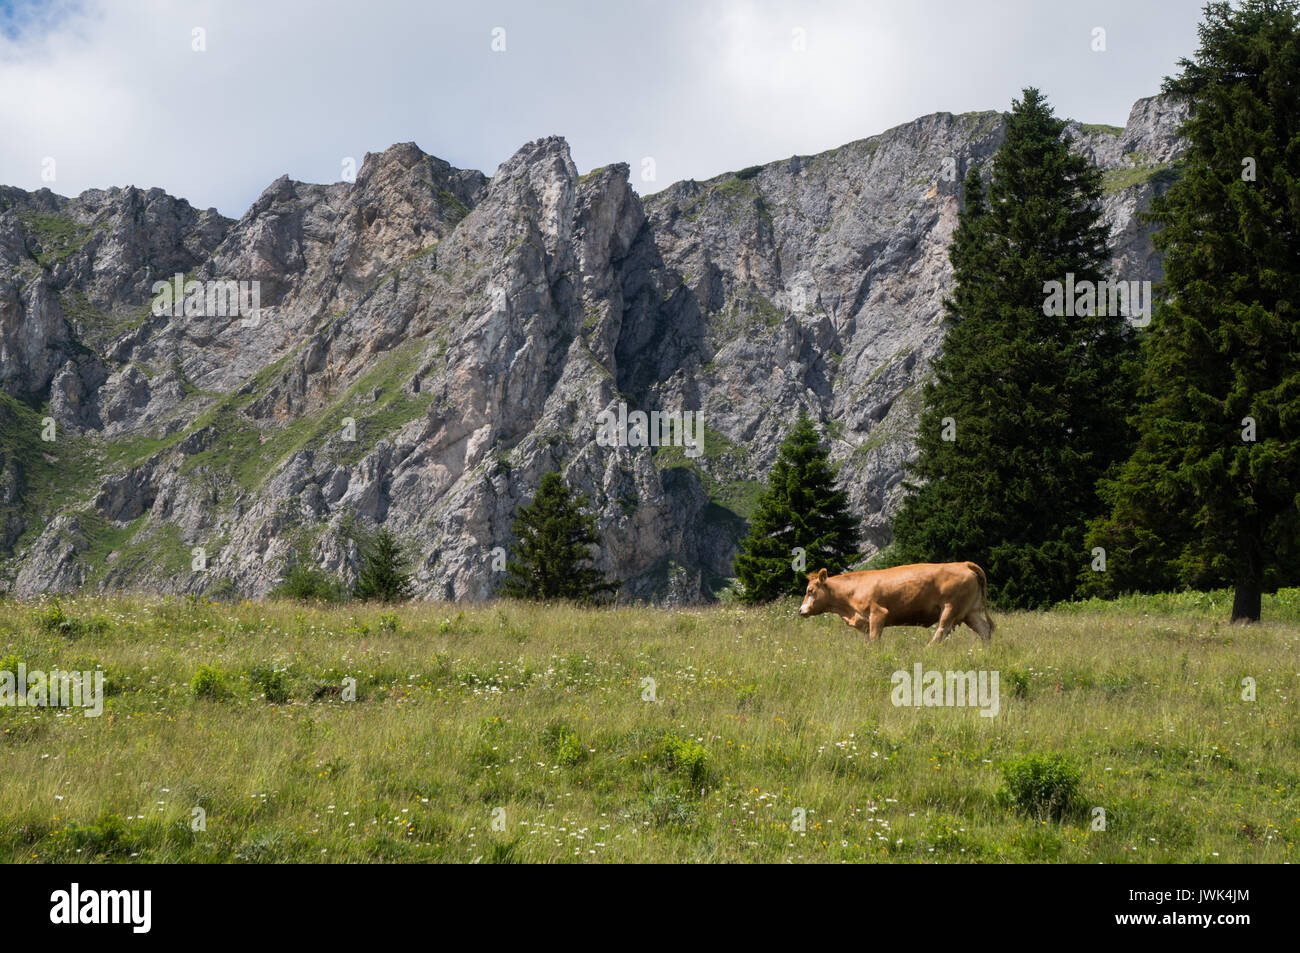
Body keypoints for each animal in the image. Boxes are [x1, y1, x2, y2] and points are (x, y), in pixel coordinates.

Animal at [798, 562, 994, 645]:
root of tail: (963, 564)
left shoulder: (878, 614)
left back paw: (927, 649)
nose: (800, 610)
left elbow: (874, 640)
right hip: (971, 612)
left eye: (810, 590)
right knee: (985, 630)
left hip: (950, 608)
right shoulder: (865, 622)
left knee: (941, 630)